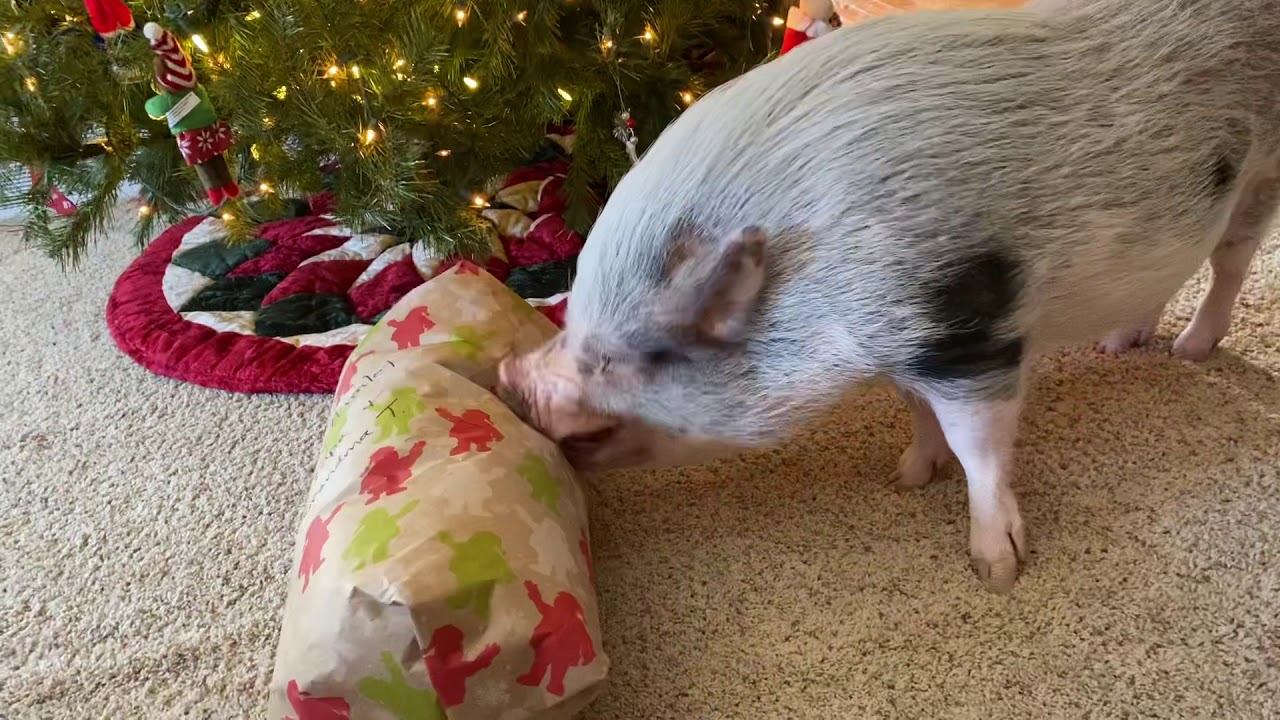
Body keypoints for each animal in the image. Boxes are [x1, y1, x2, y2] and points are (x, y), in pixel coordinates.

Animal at [498, 0, 1280, 593]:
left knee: (1230, 264)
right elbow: (918, 413)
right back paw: (1123, 344)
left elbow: (980, 450)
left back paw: (1191, 350)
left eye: (623, 355)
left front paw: (997, 571)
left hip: (1262, 176)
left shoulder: (969, 338)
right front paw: (905, 478)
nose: (507, 374)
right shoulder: (903, 351)